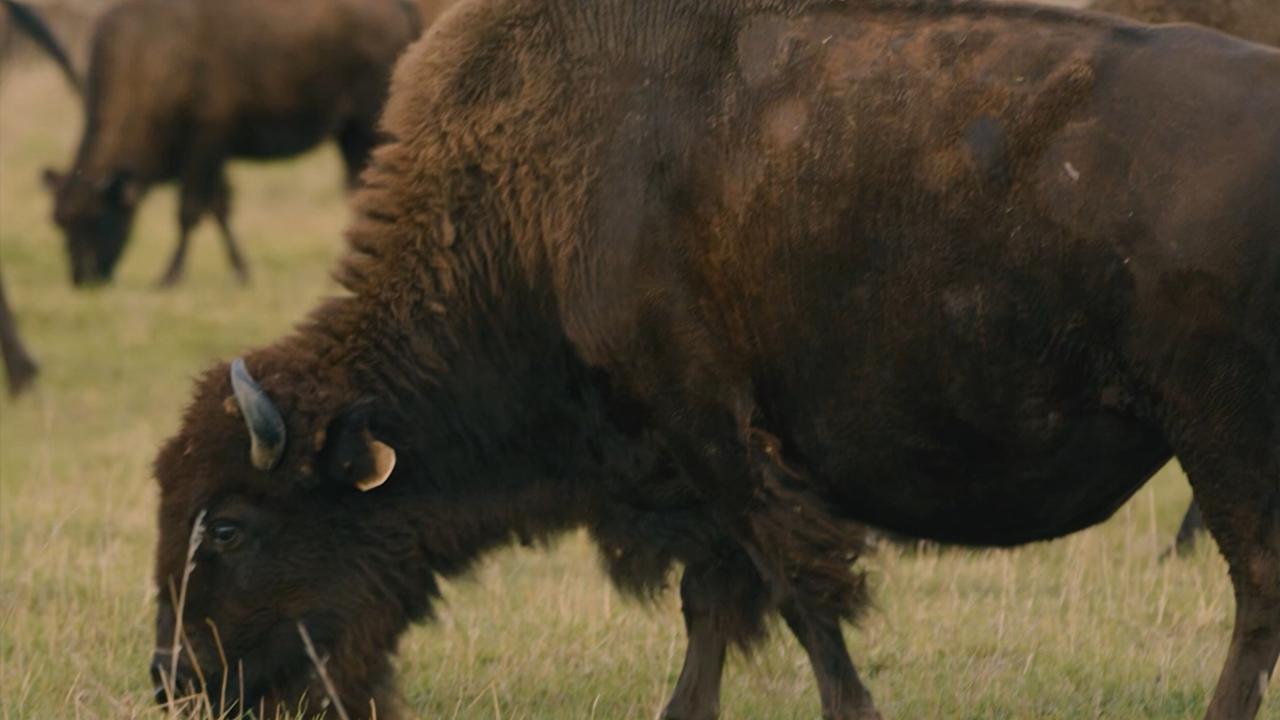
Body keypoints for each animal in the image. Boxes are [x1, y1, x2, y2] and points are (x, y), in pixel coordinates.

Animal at [42, 0, 422, 288]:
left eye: (97, 217)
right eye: (60, 221)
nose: (83, 278)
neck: (157, 54)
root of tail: (397, 8)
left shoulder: (205, 144)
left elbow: (190, 211)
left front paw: (169, 277)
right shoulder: (210, 158)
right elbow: (219, 208)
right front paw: (241, 272)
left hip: (367, 125)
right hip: (348, 133)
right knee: (357, 188)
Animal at [151, 1, 1280, 719]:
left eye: (232, 527)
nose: (175, 680)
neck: (532, 196)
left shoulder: (717, 437)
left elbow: (802, 599)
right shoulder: (688, 478)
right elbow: (715, 613)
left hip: (1219, 437)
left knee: (1255, 589)